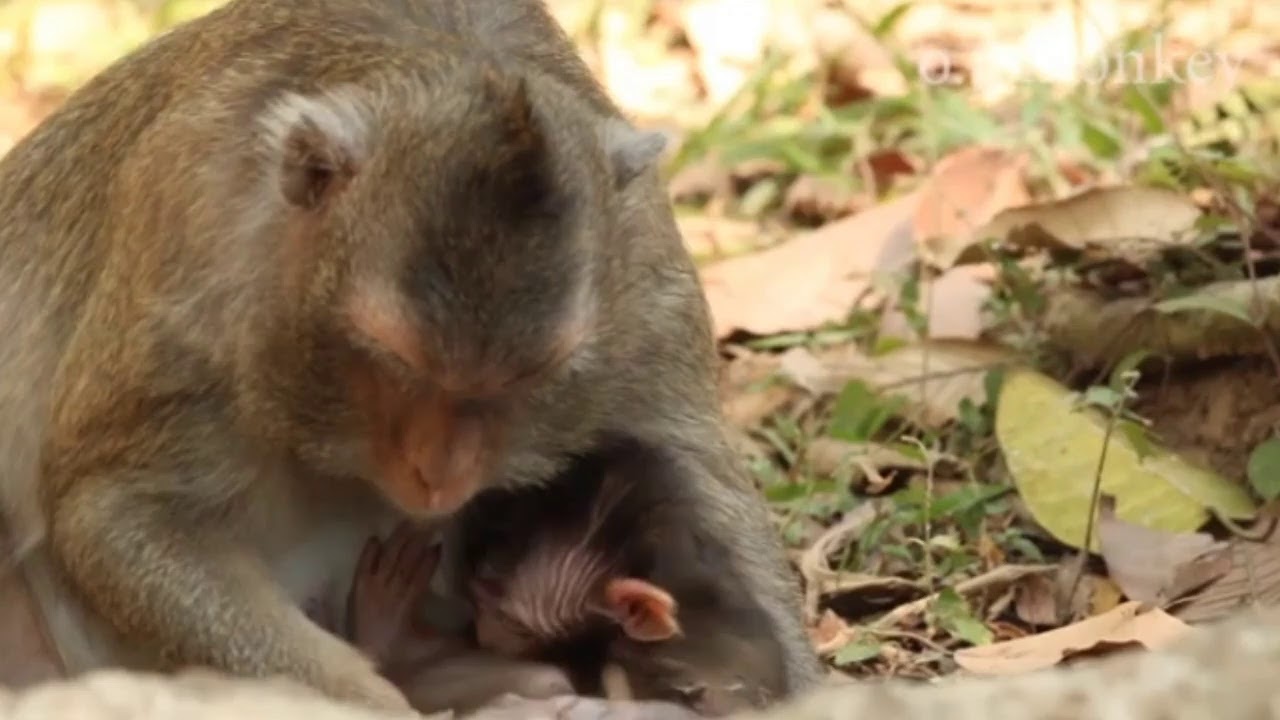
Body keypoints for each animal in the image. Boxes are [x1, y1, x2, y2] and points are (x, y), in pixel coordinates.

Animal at [0, 0, 823, 710]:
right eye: (395, 361)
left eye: (532, 377)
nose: (440, 475)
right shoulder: (194, 267)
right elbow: (116, 513)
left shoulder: (641, 272)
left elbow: (692, 474)